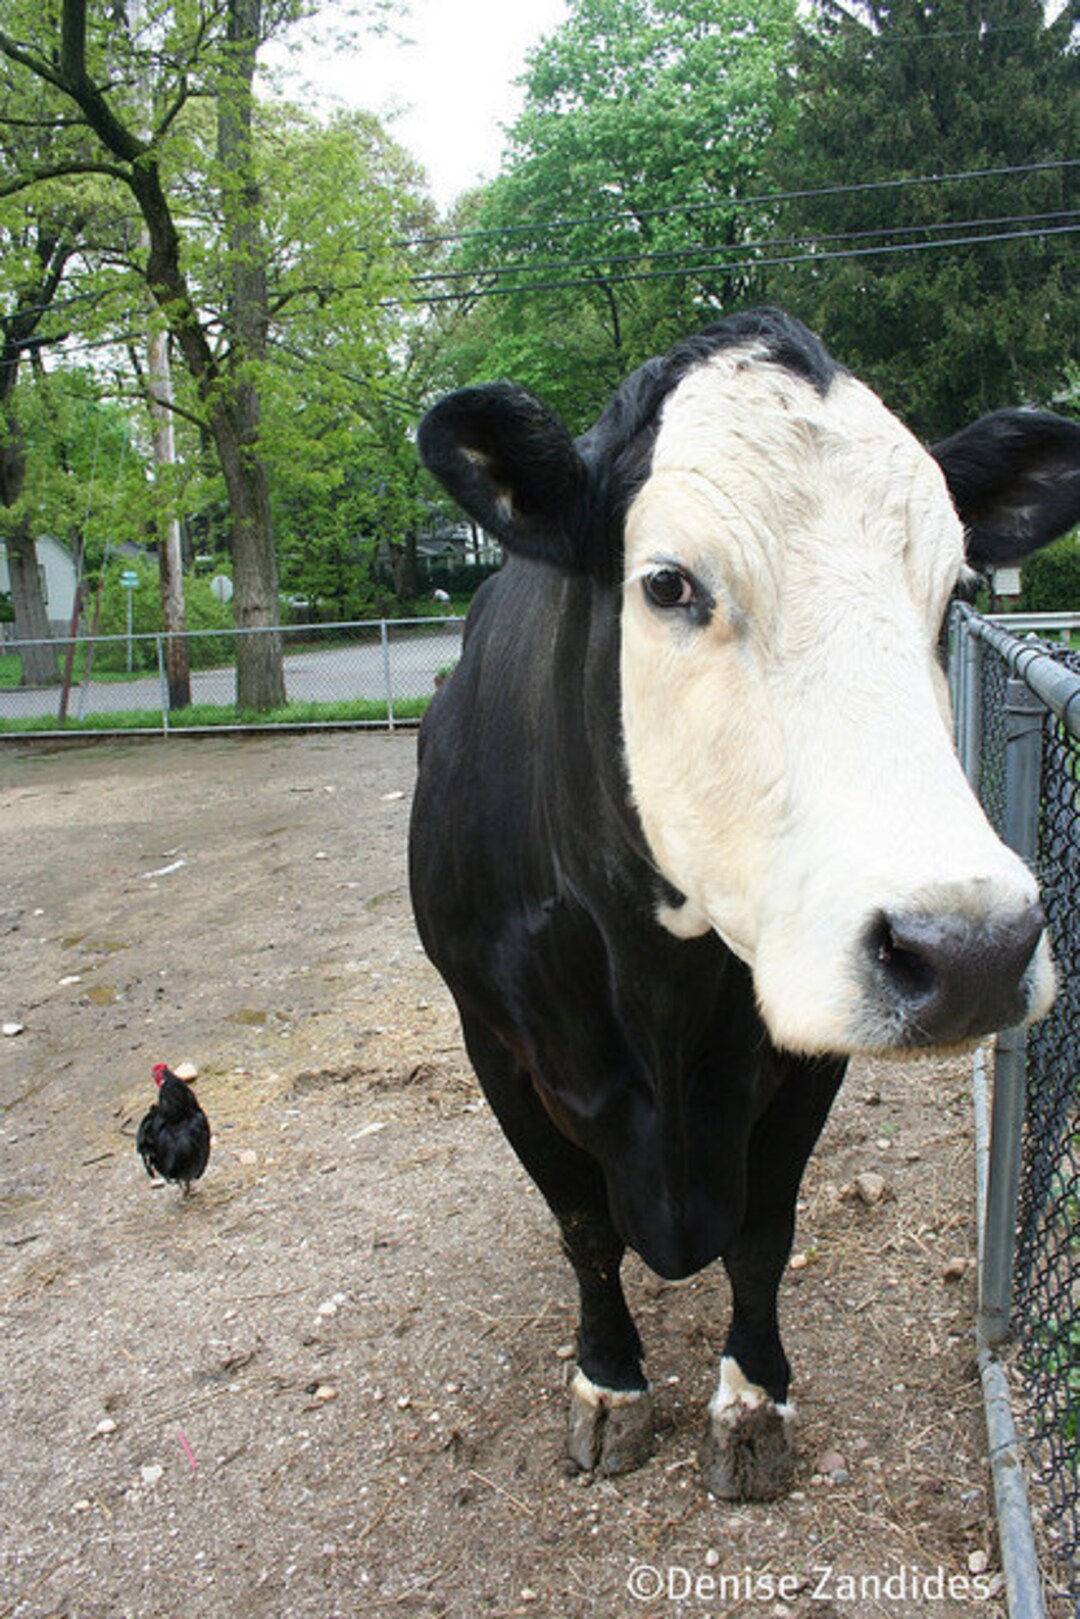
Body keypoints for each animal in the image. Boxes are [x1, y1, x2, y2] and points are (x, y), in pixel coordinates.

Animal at [408, 308, 1080, 1502]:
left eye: (954, 588)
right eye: (669, 583)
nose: (973, 949)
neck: (659, 998)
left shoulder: (802, 1061)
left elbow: (765, 1234)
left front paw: (755, 1401)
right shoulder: (497, 1041)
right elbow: (582, 1227)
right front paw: (609, 1382)